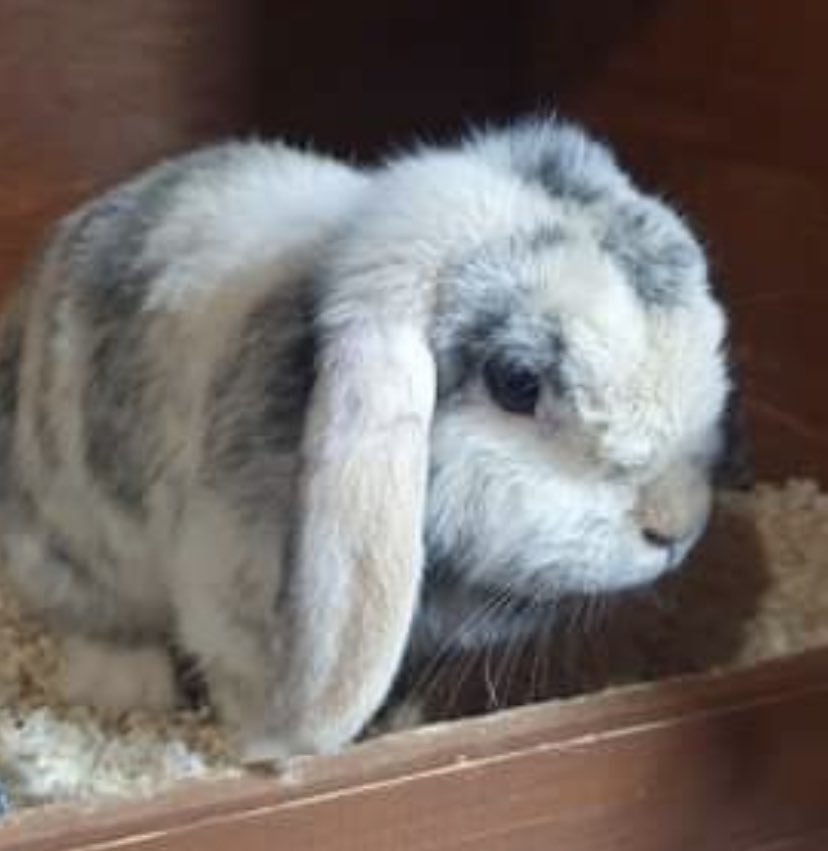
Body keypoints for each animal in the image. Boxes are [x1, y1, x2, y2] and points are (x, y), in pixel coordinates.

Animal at [0, 116, 731, 763]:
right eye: (517, 382)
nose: (679, 525)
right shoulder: (226, 602)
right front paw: (275, 749)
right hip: (75, 540)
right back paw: (130, 685)